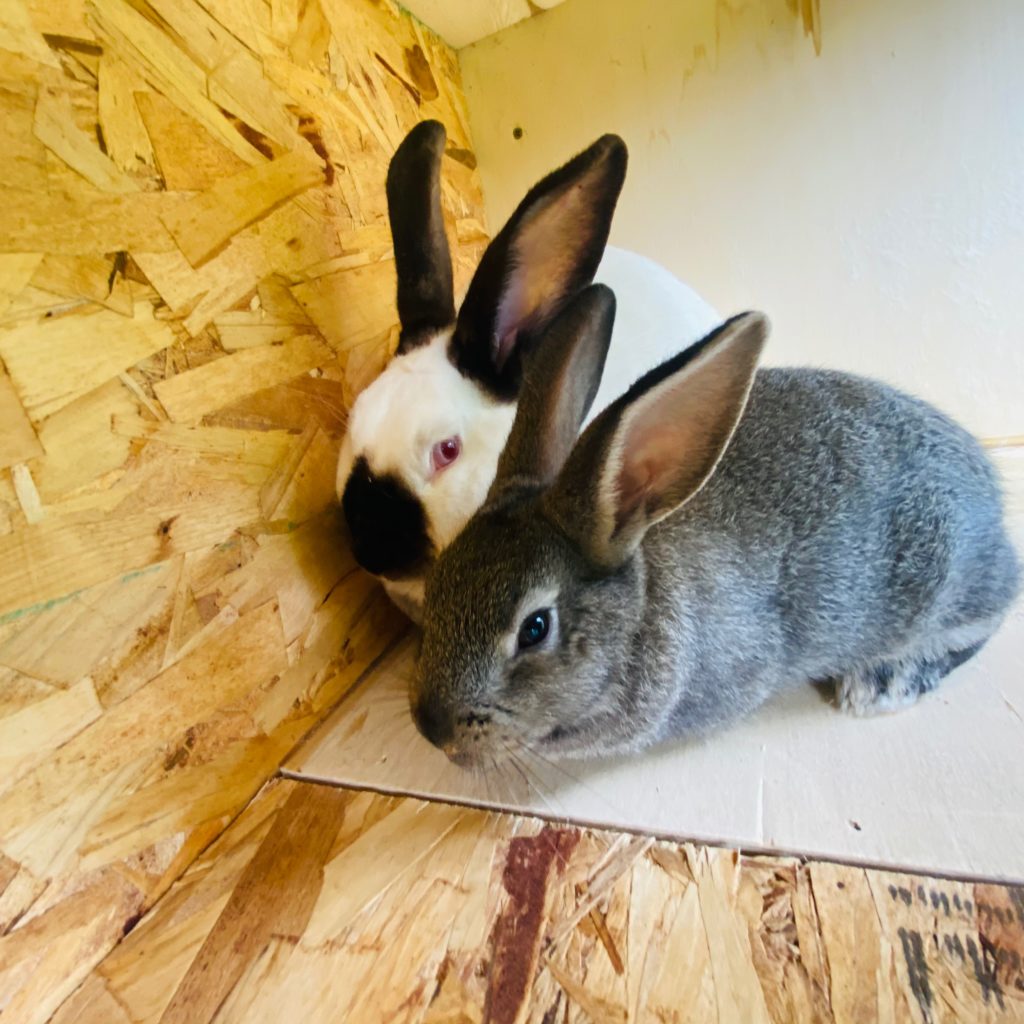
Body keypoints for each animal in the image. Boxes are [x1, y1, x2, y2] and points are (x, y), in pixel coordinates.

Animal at [412, 285, 1020, 766]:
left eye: (535, 628)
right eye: (436, 584)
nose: (431, 729)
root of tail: (991, 493)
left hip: (942, 589)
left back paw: (882, 683)